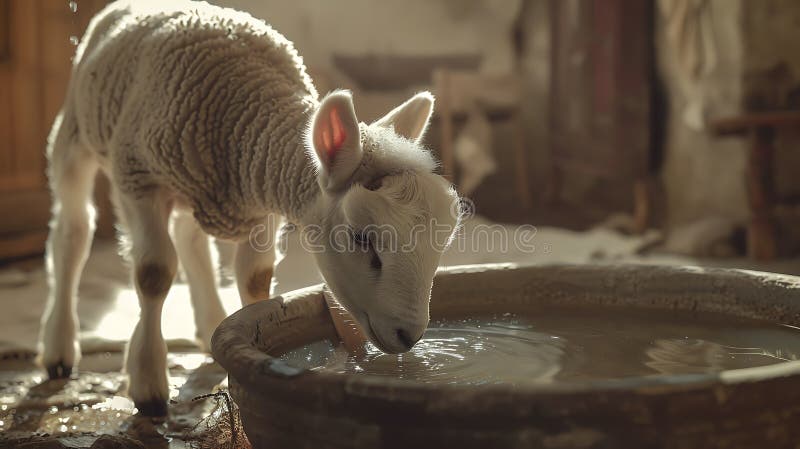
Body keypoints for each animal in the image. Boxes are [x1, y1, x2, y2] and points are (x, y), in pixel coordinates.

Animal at [38, 0, 460, 416]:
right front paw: (148, 384)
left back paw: (209, 321)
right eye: (360, 239)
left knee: (189, 239)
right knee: (73, 234)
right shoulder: (138, 178)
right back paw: (59, 348)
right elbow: (154, 274)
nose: (410, 334)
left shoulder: (260, 204)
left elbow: (256, 277)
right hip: (75, 133)